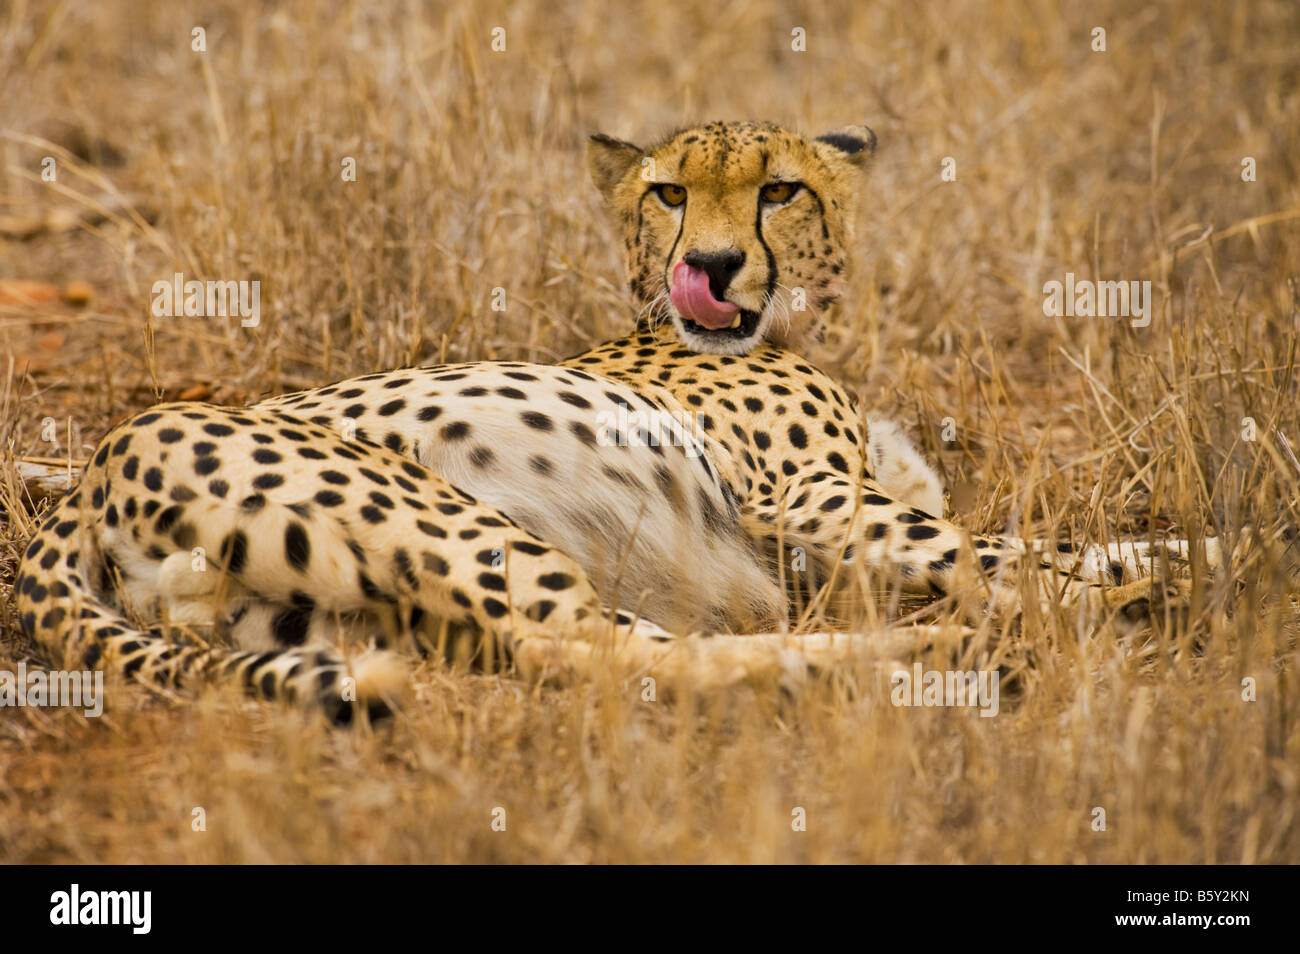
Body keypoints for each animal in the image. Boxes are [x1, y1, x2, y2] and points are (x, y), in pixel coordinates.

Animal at [13, 120, 1221, 721]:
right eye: (667, 194)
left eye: (779, 190)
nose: (713, 267)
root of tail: (87, 475)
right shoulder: (810, 499)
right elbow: (1001, 550)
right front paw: (1170, 579)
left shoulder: (834, 528)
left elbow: (1043, 541)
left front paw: (1186, 554)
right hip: (458, 524)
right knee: (604, 651)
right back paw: (942, 652)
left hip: (325, 612)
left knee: (595, 653)